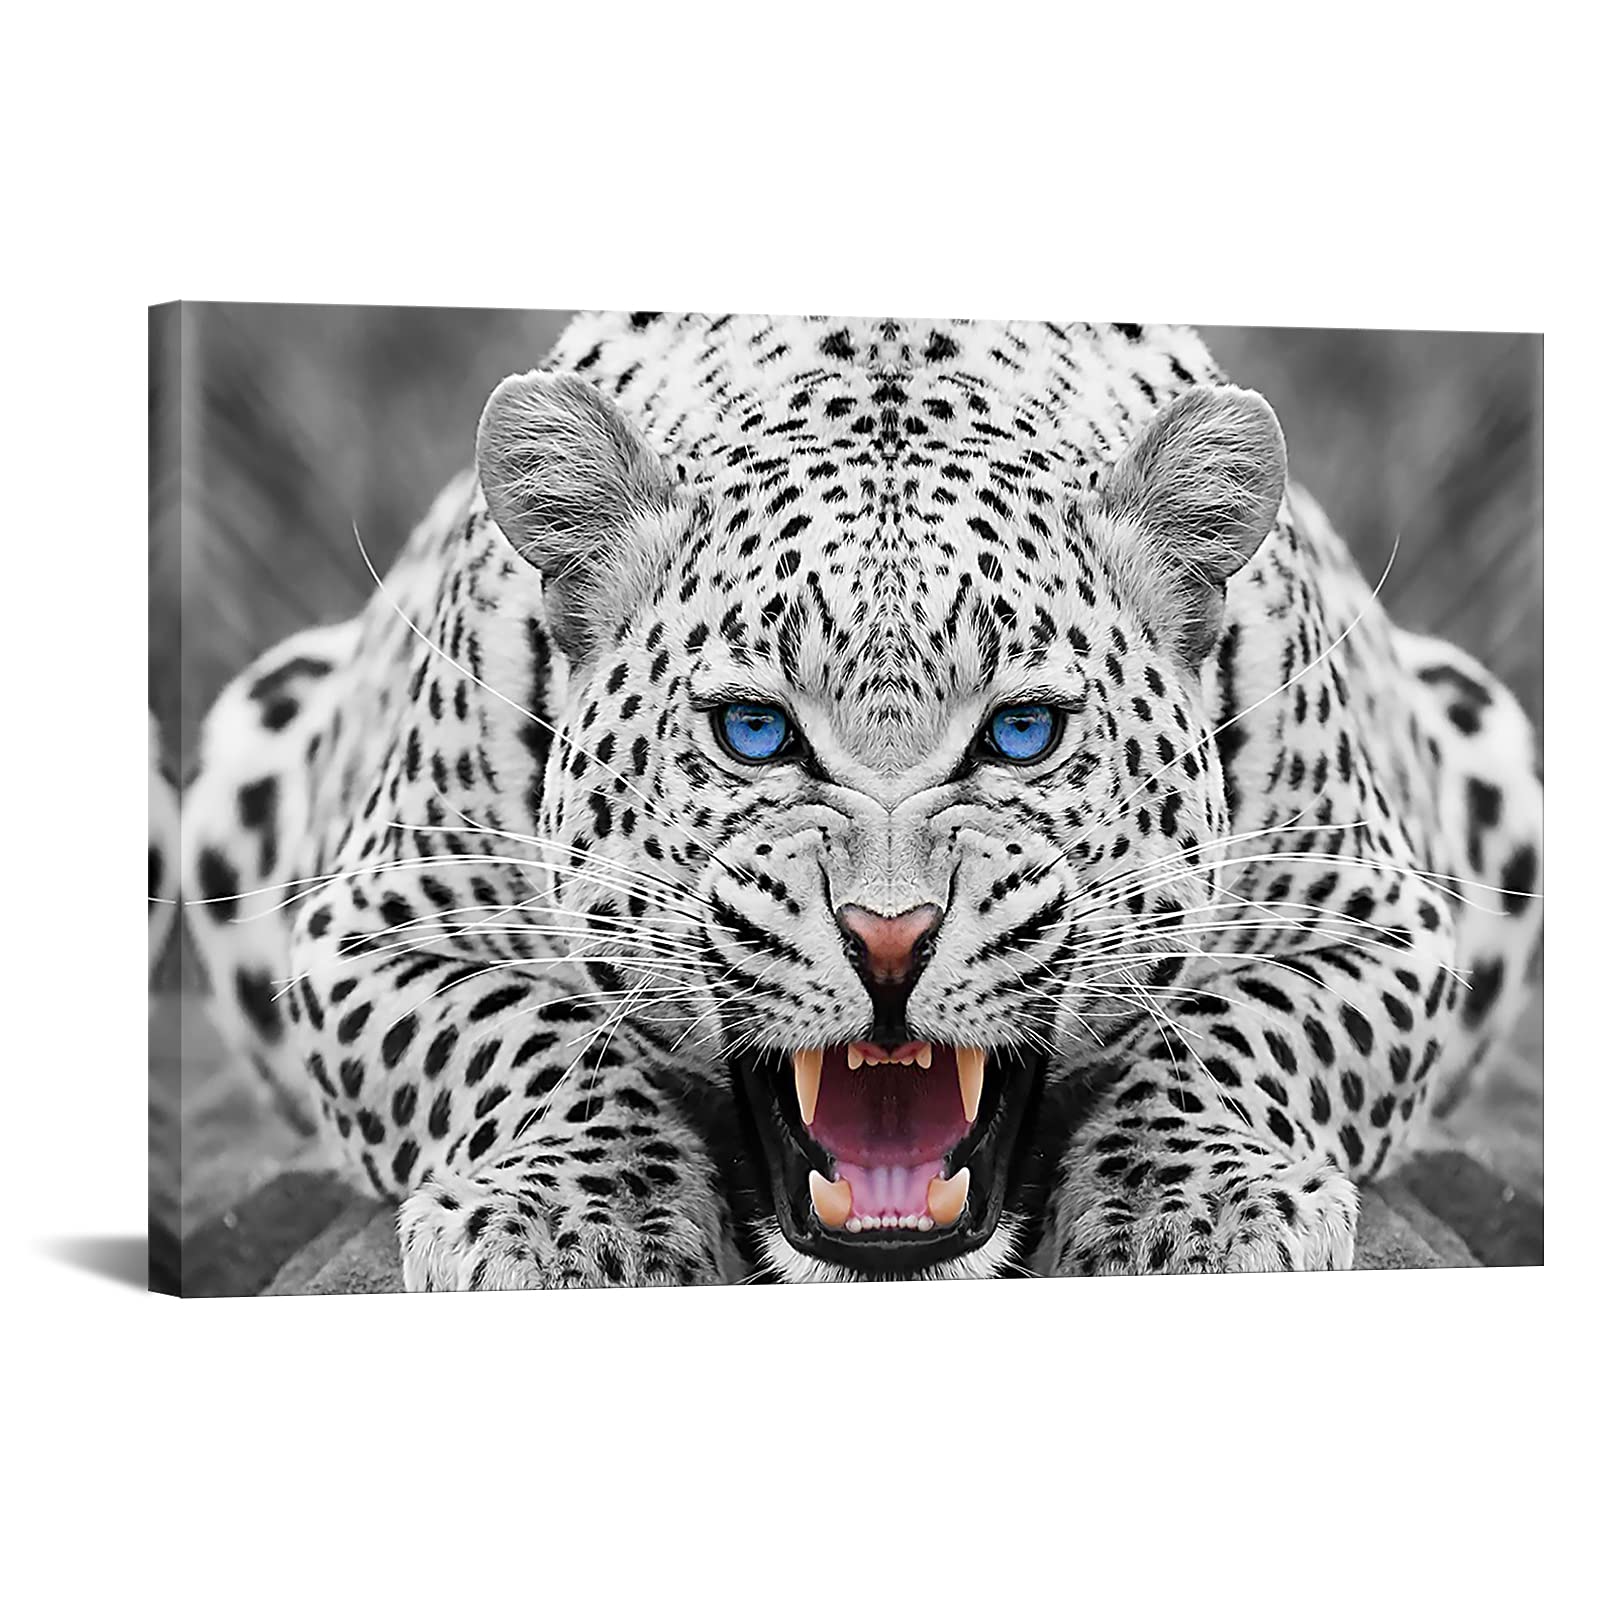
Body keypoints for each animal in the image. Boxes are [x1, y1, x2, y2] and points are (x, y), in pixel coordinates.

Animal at [173, 314, 1543, 1288]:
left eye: (1022, 734)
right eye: (754, 732)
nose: (889, 941)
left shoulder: (1379, 914)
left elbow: (1233, 1027)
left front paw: (1190, 1205)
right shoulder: (370, 925)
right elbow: (526, 1034)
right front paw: (573, 1219)